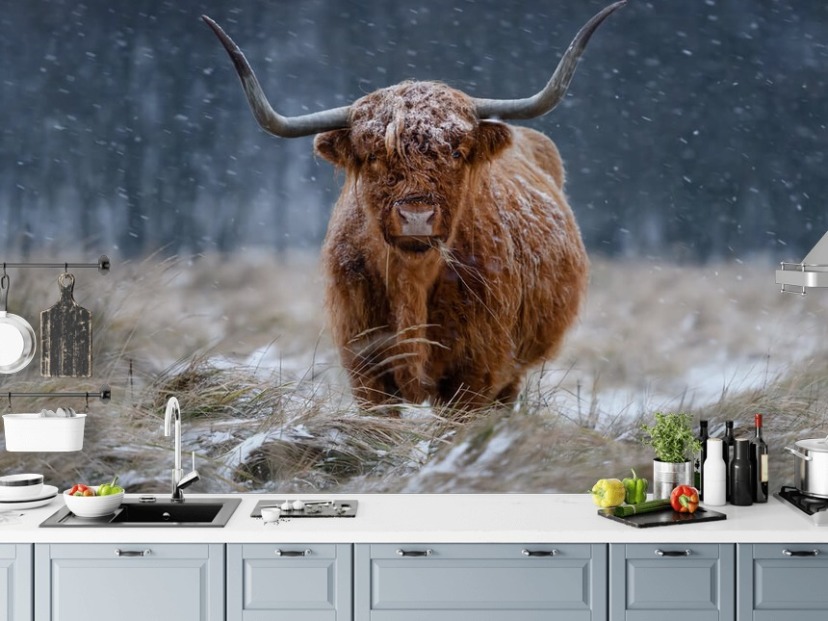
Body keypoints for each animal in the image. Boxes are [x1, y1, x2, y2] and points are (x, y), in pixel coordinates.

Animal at [203, 2, 625, 412]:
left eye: (455, 152)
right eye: (374, 155)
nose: (417, 216)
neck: (412, 283)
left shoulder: (477, 371)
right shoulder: (365, 367)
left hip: (513, 372)